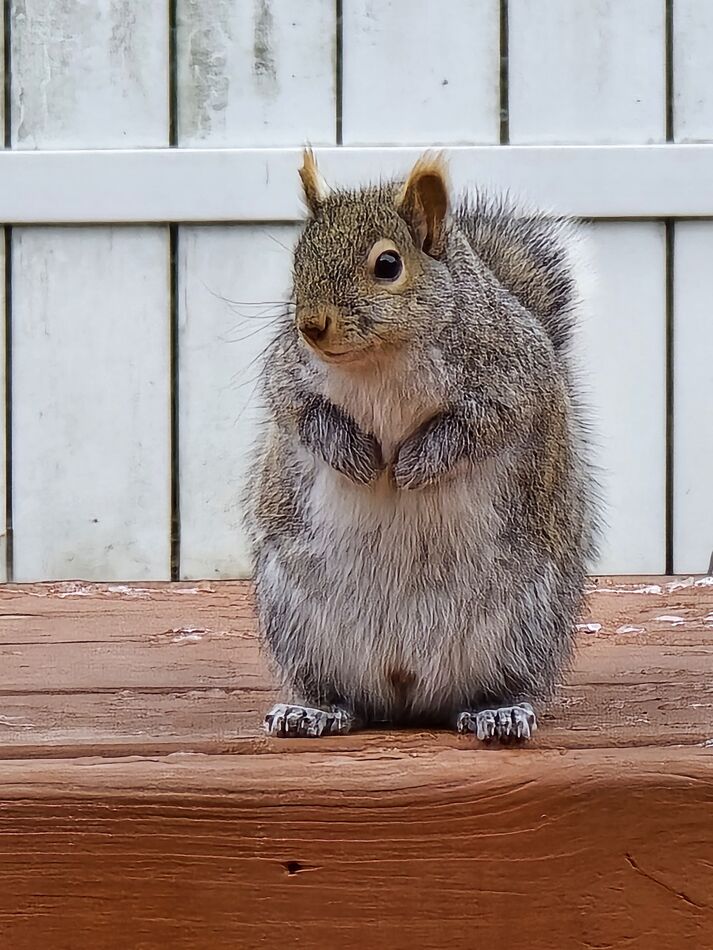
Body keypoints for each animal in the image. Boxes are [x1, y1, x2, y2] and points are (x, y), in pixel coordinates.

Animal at [245, 149, 599, 742]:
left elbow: (480, 426)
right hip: (297, 618)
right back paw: (315, 710)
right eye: (299, 257)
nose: (310, 325)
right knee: (345, 697)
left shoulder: (514, 378)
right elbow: (301, 412)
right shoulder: (288, 372)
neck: (381, 358)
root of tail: (406, 687)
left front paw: (414, 465)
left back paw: (499, 710)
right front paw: (357, 456)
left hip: (525, 618)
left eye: (388, 265)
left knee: (504, 682)